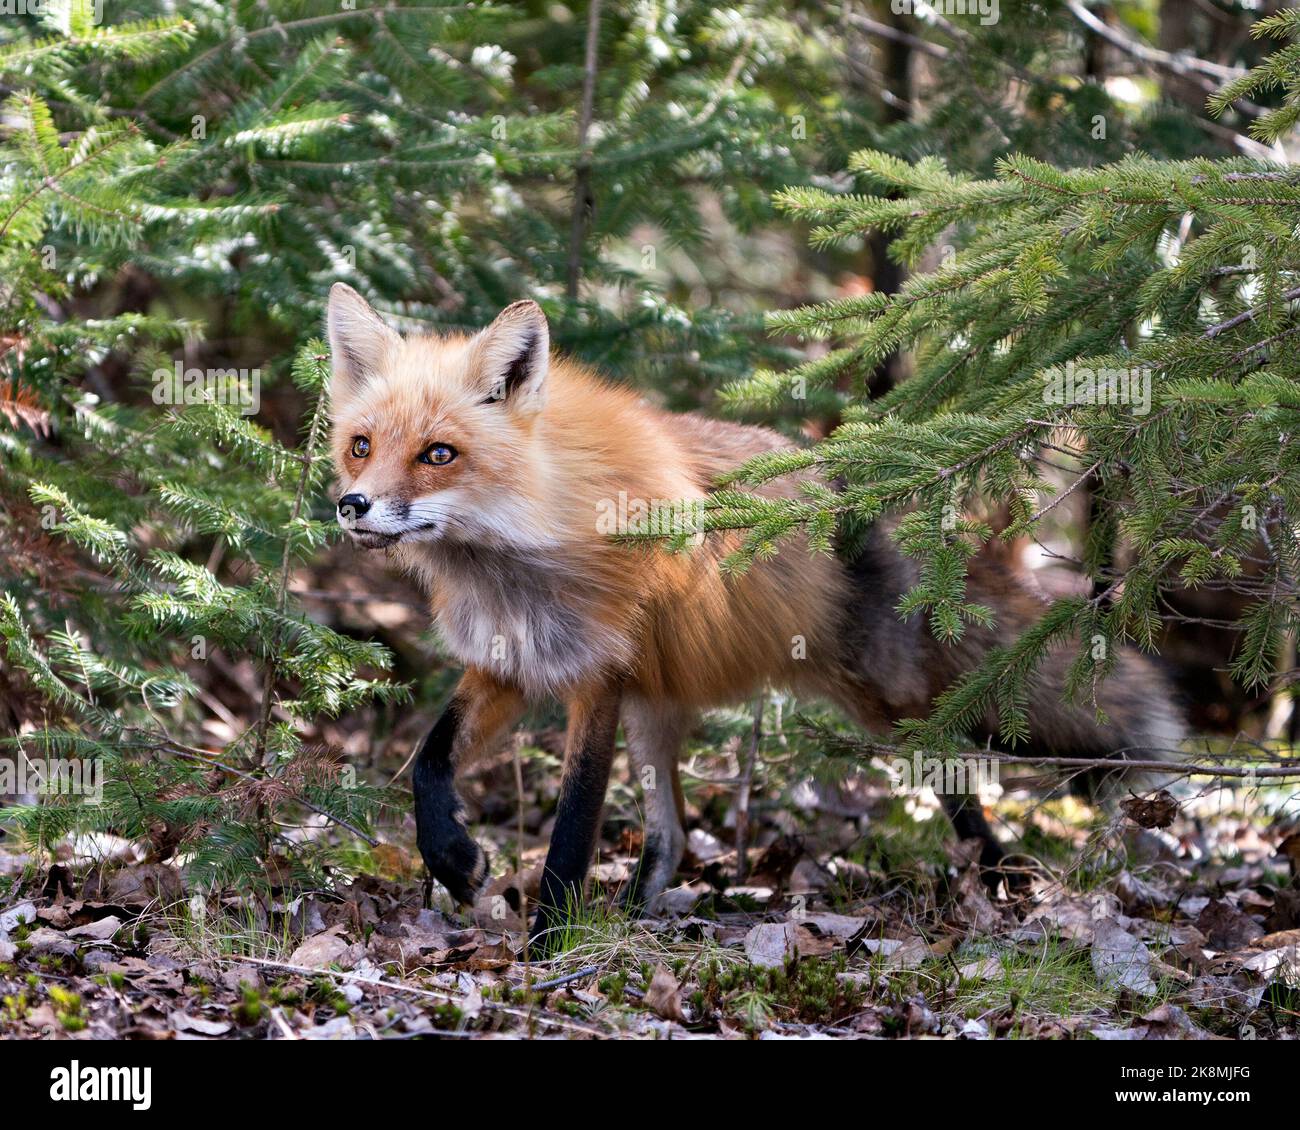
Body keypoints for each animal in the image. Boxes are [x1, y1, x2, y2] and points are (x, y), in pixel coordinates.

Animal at [325, 282, 1184, 945]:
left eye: (439, 454)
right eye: (361, 445)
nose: (352, 505)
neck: (516, 556)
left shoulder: (595, 676)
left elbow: (569, 835)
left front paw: (545, 949)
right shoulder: (508, 663)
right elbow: (428, 761)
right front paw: (453, 859)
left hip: (890, 705)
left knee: (960, 786)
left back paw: (1002, 880)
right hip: (657, 707)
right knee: (671, 836)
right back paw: (635, 916)